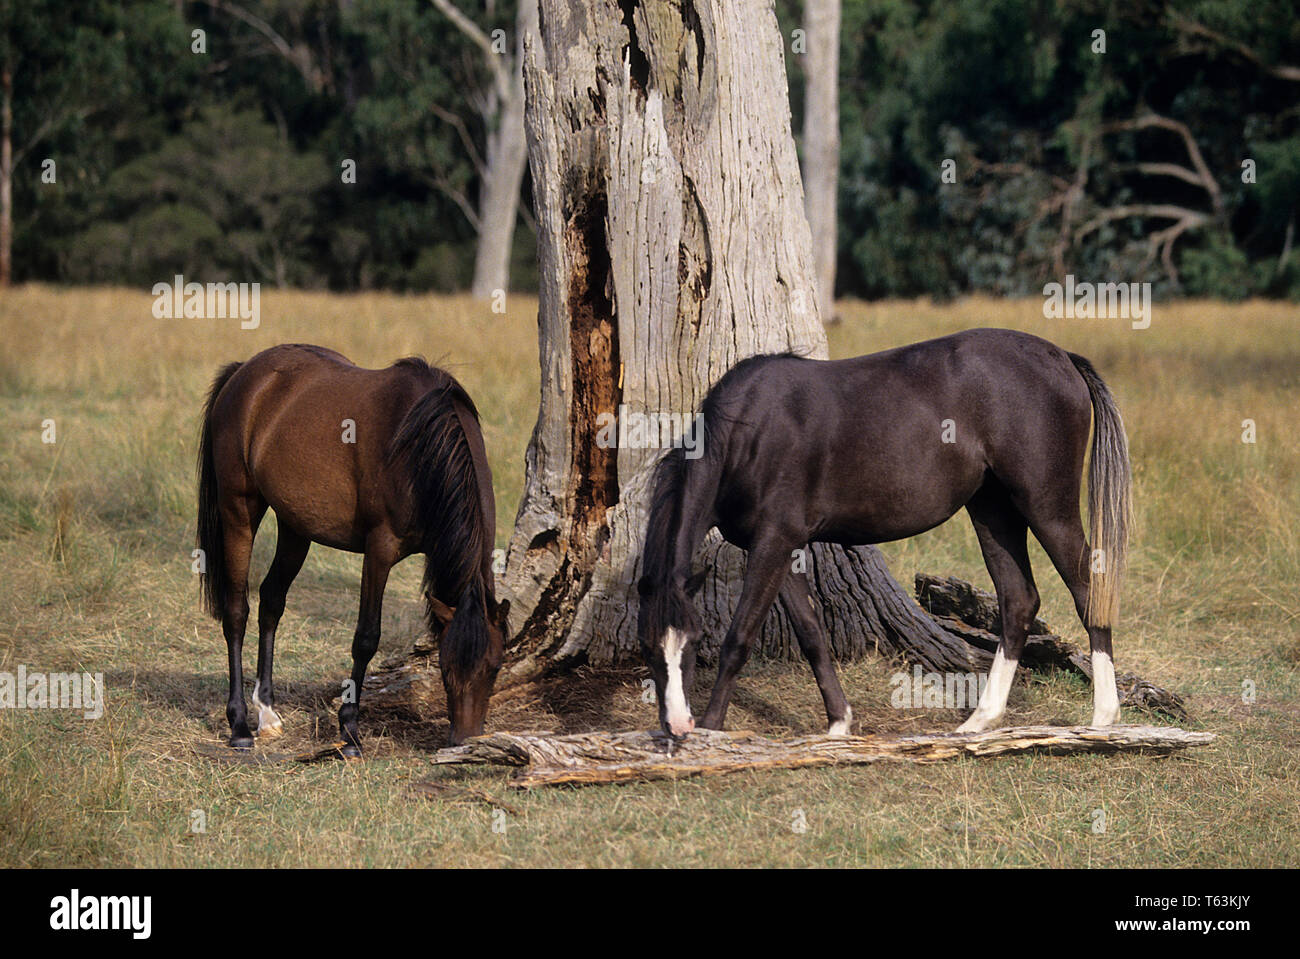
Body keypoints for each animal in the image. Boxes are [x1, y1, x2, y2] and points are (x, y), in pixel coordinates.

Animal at [196, 343, 509, 754]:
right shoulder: (380, 550)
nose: (464, 740)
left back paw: (267, 713)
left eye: (495, 666)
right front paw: (349, 731)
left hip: (295, 526)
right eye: (445, 667)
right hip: (239, 511)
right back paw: (239, 726)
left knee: (271, 601)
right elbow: (366, 637)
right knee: (236, 612)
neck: (420, 446)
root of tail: (244, 372)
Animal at [637, 327, 1132, 738]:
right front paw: (839, 723)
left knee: (1089, 590)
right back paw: (980, 719)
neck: (750, 431)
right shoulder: (783, 548)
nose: (676, 725)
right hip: (993, 509)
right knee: (1019, 602)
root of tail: (1061, 357)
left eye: (692, 645)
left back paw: (1103, 717)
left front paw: (711, 727)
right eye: (647, 649)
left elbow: (739, 636)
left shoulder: (773, 541)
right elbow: (811, 633)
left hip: (1047, 506)